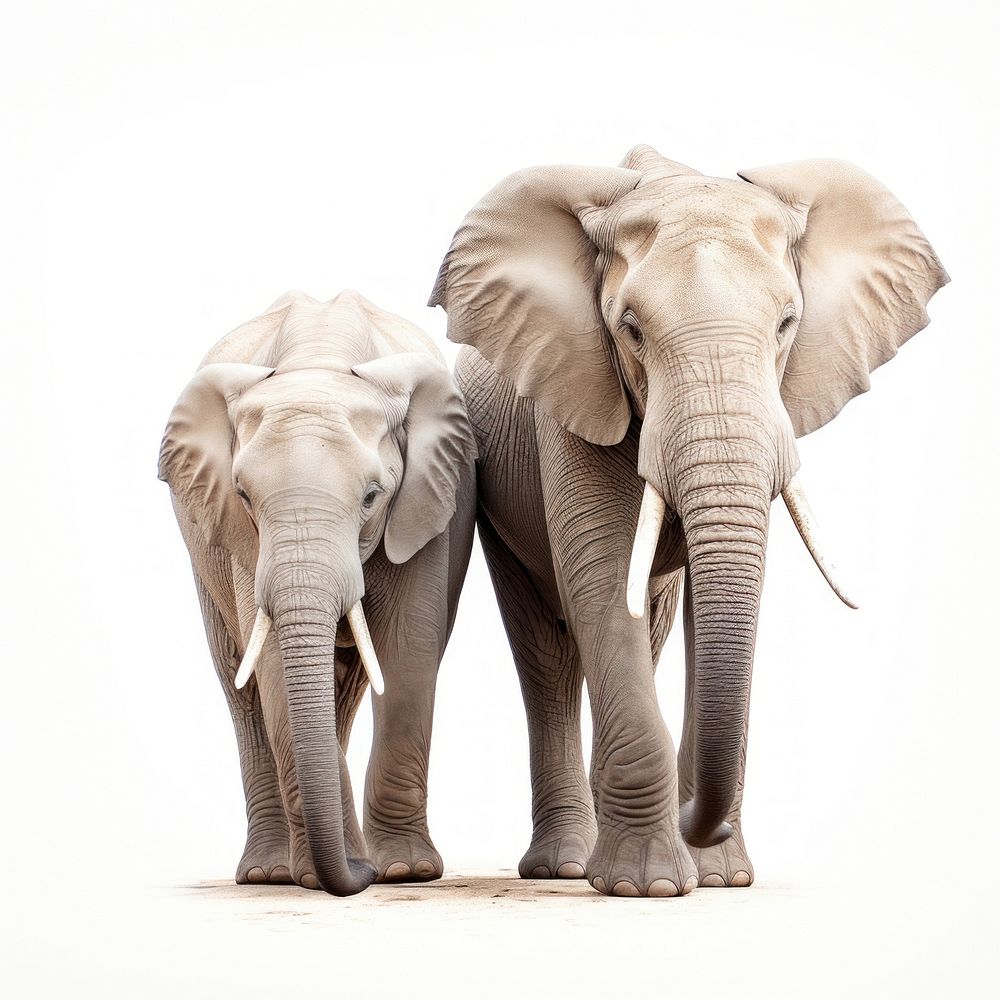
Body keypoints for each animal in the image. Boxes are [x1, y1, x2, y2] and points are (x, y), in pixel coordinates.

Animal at [158, 289, 477, 896]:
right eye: (243, 495)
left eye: (373, 495)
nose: (362, 873)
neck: (320, 360)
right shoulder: (243, 540)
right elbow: (273, 669)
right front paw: (329, 873)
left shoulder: (424, 504)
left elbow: (407, 651)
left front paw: (405, 872)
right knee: (239, 686)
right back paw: (269, 874)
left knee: (347, 687)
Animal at [430, 145, 947, 897]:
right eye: (631, 330)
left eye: (787, 324)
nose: (705, 825)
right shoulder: (575, 388)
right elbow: (601, 576)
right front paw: (645, 886)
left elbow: (711, 598)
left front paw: (722, 879)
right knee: (548, 653)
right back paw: (565, 867)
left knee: (651, 623)